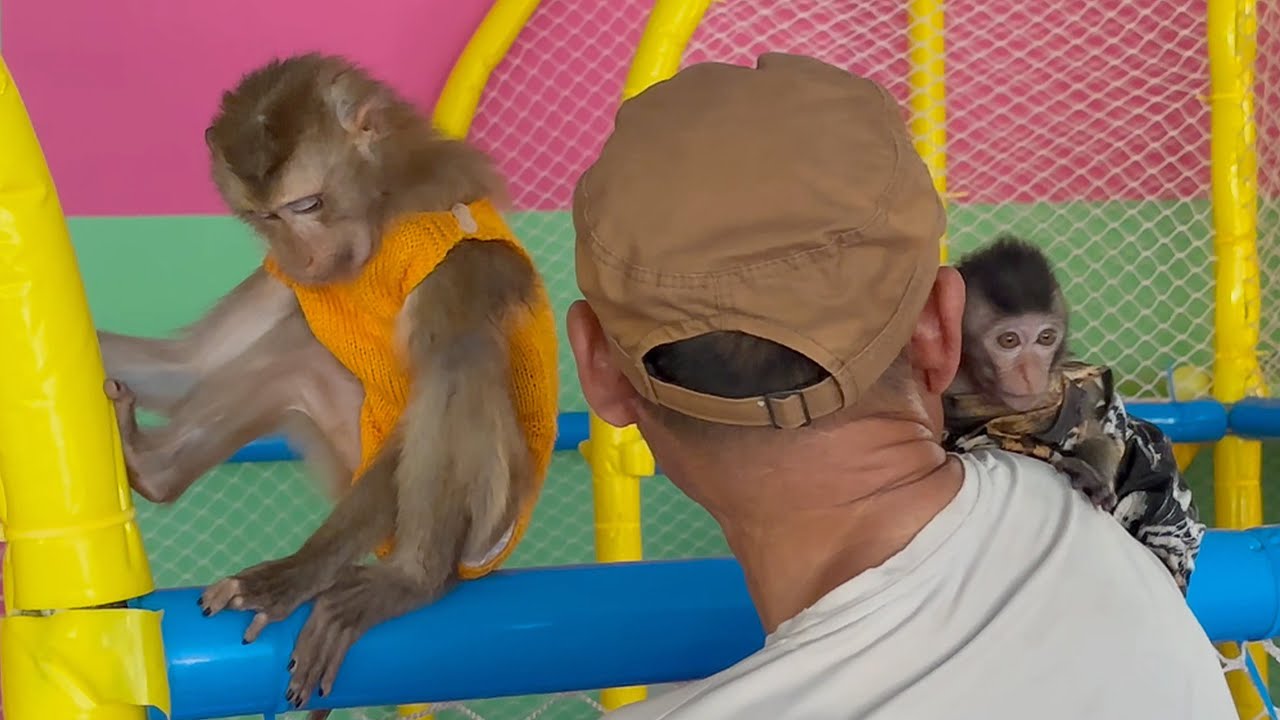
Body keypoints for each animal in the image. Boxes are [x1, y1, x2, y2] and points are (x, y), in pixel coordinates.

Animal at [96, 53, 560, 712]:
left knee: (457, 366)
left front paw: (298, 574)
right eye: (265, 216)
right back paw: (151, 467)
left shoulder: (453, 258)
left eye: (308, 204)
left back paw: (413, 578)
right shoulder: (282, 272)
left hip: (487, 528)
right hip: (347, 455)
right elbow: (192, 362)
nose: (302, 255)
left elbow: (443, 375)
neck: (385, 211)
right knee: (298, 357)